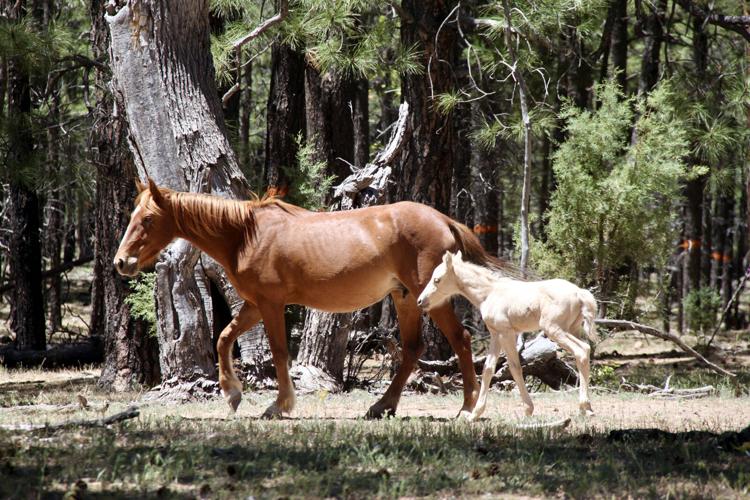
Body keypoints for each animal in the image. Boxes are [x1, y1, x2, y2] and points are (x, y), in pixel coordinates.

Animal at [114, 179, 509, 418]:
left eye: (147, 219)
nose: (121, 262)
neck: (245, 236)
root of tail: (443, 220)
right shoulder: (255, 305)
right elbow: (224, 338)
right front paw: (232, 393)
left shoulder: (271, 305)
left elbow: (277, 352)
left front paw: (279, 405)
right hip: (407, 298)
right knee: (413, 349)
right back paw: (381, 406)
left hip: (431, 298)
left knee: (461, 340)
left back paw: (467, 408)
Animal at [416, 251, 598, 421]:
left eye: (437, 279)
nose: (420, 301)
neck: (488, 294)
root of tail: (580, 293)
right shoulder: (496, 334)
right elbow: (489, 368)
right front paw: (476, 414)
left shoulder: (506, 333)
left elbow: (514, 367)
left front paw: (527, 409)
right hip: (571, 328)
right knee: (585, 351)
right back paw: (587, 408)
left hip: (554, 328)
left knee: (582, 350)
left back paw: (585, 407)